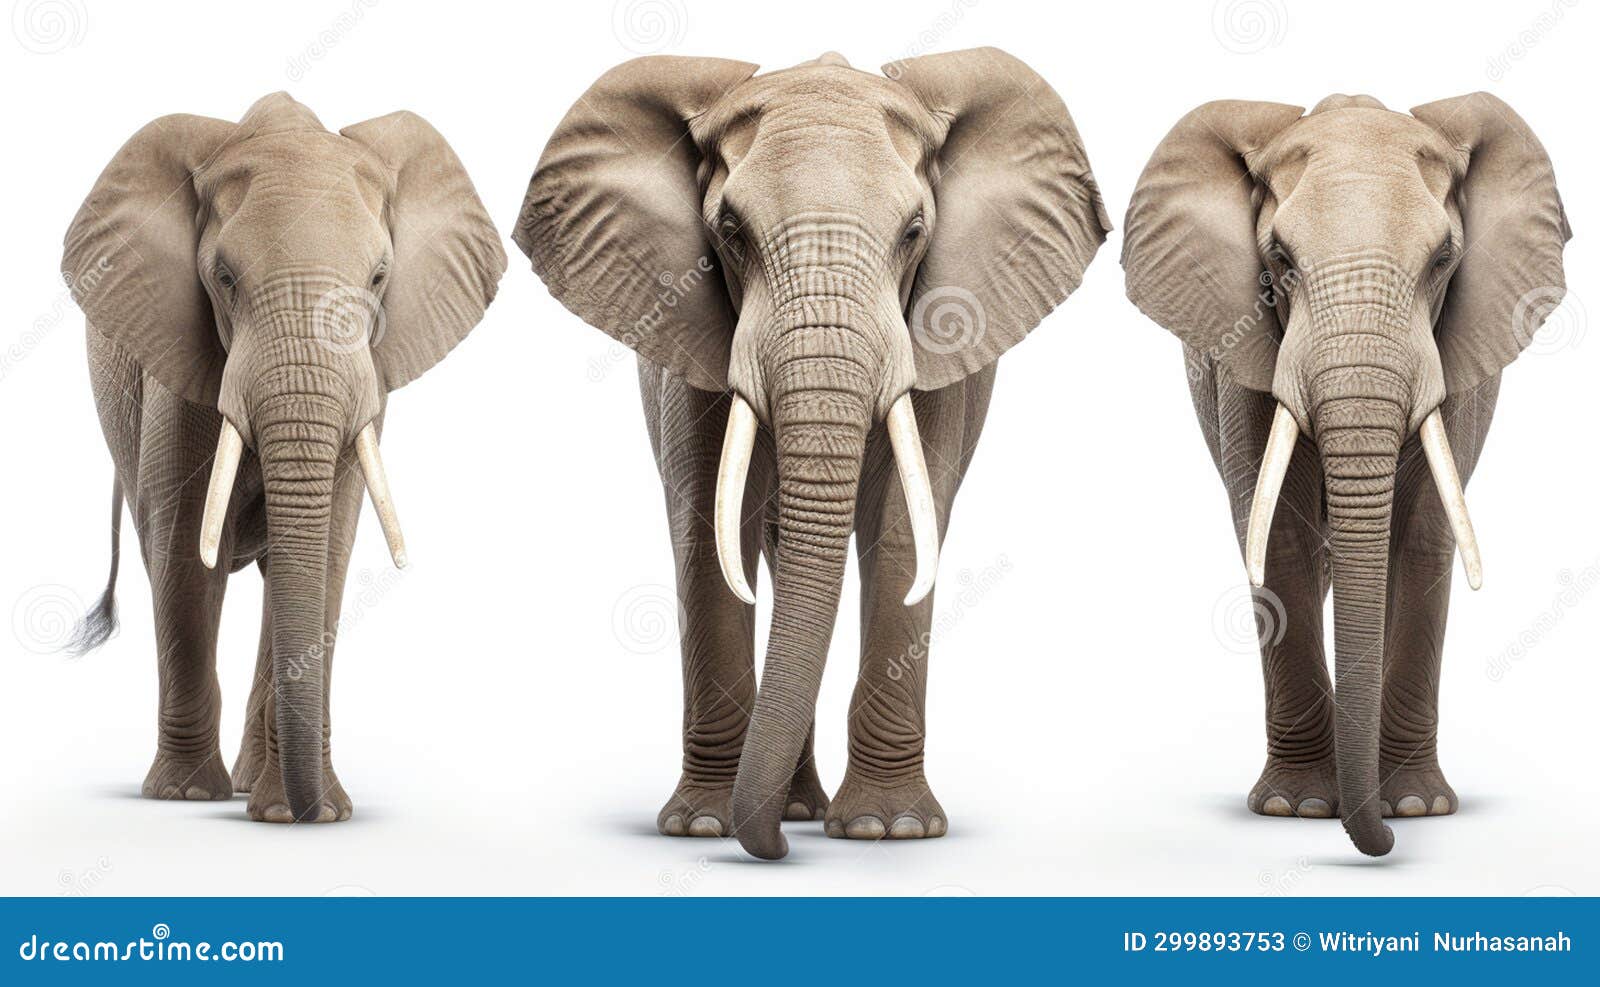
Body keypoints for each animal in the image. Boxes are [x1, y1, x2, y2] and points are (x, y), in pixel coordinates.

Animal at [61, 92, 505, 822]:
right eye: (223, 279)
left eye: (379, 277)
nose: (308, 814)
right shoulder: (178, 362)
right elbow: (185, 550)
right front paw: (187, 794)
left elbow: (325, 552)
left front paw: (307, 812)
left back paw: (254, 785)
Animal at [515, 49, 1107, 859]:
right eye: (729, 231)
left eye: (915, 231)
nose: (772, 849)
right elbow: (707, 531)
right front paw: (702, 824)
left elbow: (903, 529)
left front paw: (889, 829)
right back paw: (789, 806)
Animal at [1121, 93, 1570, 856]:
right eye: (1279, 260)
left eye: (1443, 260)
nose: (1381, 842)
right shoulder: (1247, 349)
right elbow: (1276, 537)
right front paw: (1298, 807)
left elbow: (1423, 535)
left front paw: (1416, 805)